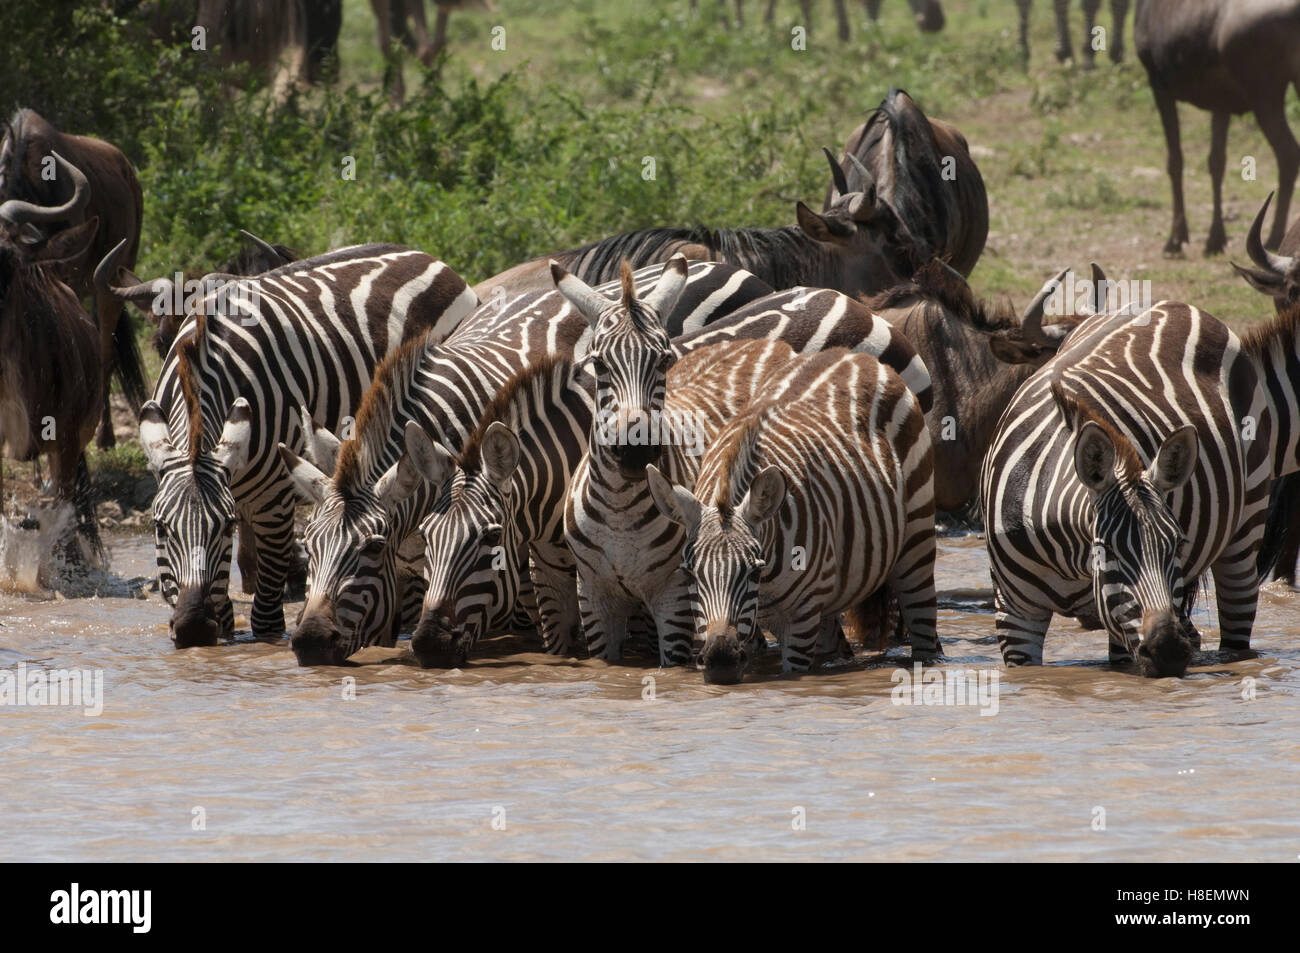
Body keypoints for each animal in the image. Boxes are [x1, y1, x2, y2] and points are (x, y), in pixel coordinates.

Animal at [121, 243, 478, 647]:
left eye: (226, 526)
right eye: (159, 527)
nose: (193, 629)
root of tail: (422, 255)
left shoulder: (274, 498)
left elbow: (266, 616)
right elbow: (223, 610)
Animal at [644, 346, 939, 684]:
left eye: (753, 572)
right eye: (690, 574)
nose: (720, 661)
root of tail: (858, 356)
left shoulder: (801, 618)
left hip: (917, 538)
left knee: (924, 625)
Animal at [979, 299, 1300, 677]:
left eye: (1176, 545)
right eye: (1107, 551)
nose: (1169, 652)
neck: (1065, 552)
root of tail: (1178, 304)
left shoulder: (1121, 624)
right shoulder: (1014, 614)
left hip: (1245, 527)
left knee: (1236, 632)